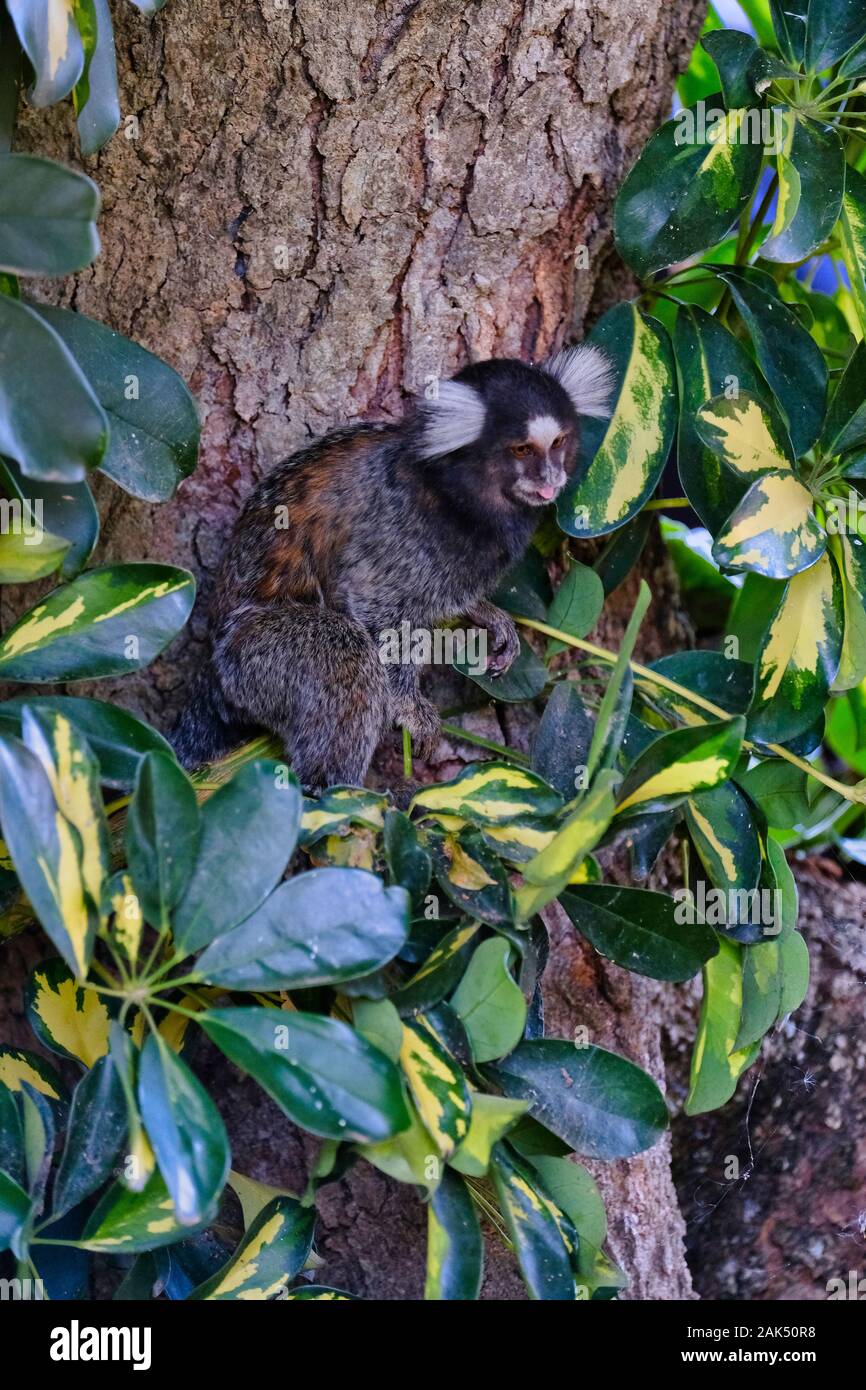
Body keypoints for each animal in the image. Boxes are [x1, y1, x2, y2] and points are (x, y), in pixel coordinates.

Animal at [171, 346, 614, 789]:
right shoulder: (398, 527)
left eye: (558, 442)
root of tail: (214, 663)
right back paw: (332, 793)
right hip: (250, 659)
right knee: (345, 654)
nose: (551, 477)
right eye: (522, 450)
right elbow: (377, 613)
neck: (458, 495)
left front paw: (484, 612)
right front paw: (408, 706)